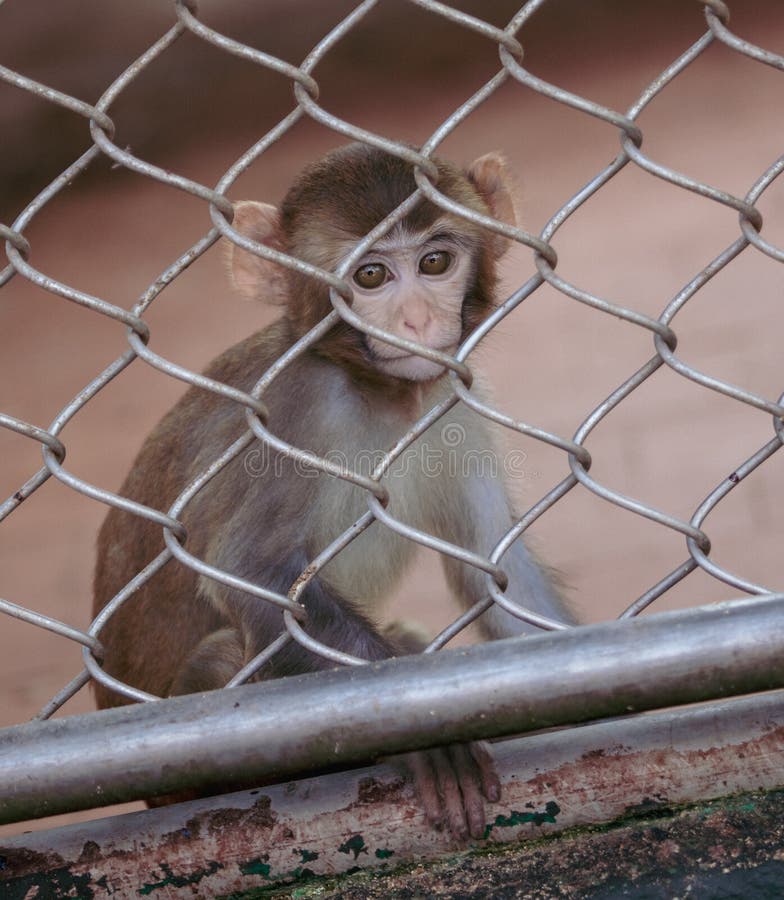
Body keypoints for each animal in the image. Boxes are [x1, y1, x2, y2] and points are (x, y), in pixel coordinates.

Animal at [92, 143, 572, 842]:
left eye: (434, 262)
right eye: (369, 277)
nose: (417, 320)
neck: (384, 395)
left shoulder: (453, 402)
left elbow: (494, 571)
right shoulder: (295, 410)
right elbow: (253, 576)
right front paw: (429, 736)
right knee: (224, 654)